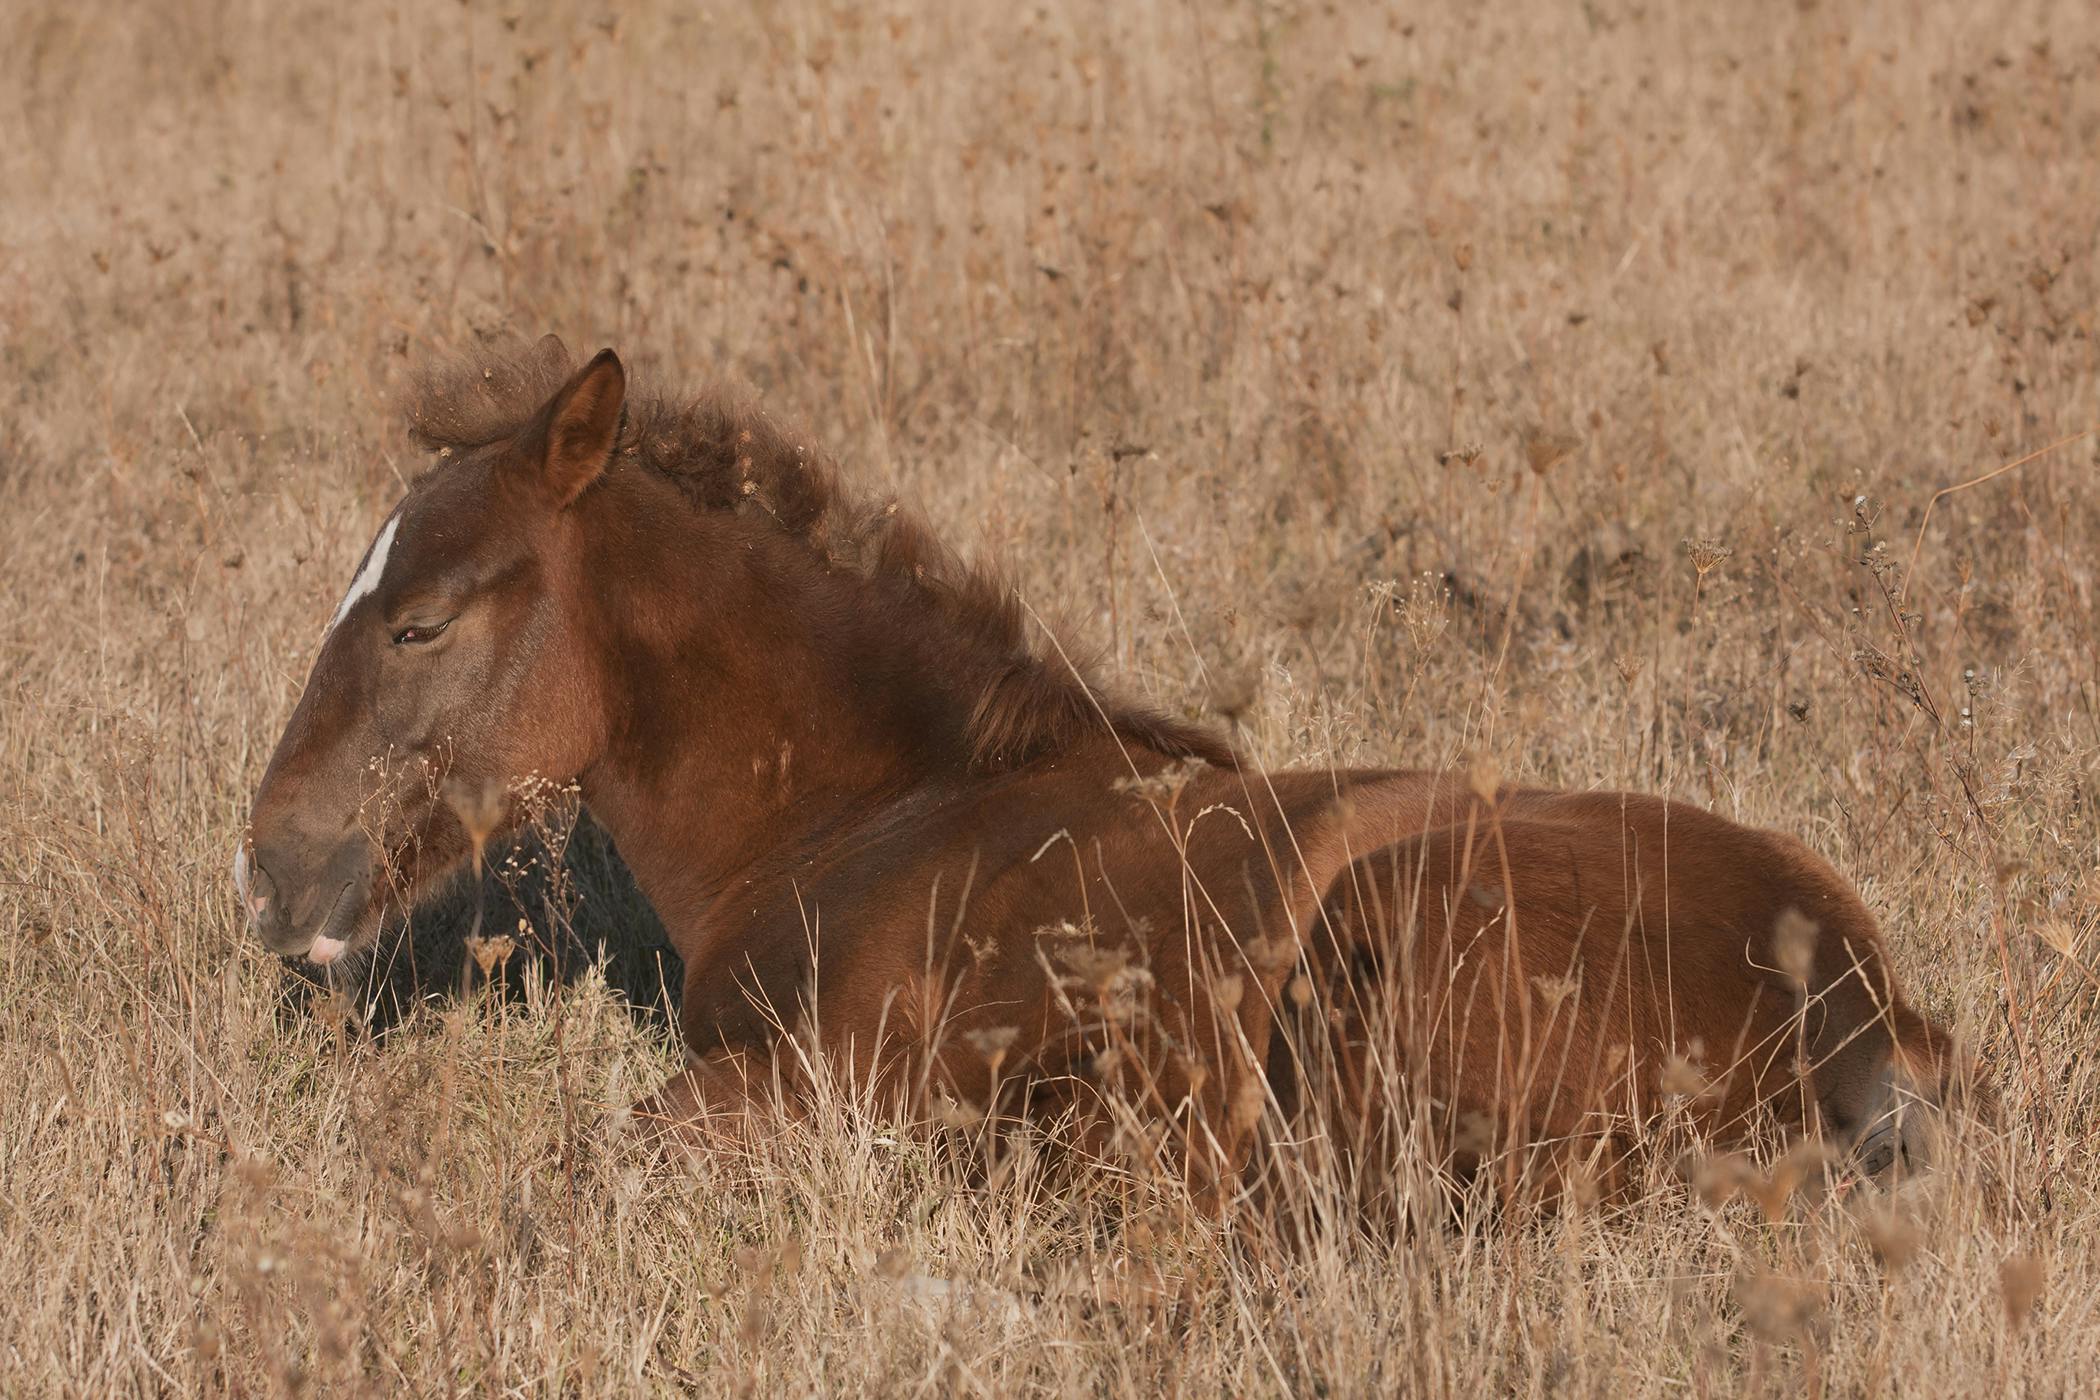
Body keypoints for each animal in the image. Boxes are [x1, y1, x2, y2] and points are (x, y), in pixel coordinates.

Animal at [236, 336, 1963, 1209]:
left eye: (419, 620)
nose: (269, 870)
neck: (880, 815)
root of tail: (1862, 1016)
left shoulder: (825, 1085)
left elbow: (595, 1156)